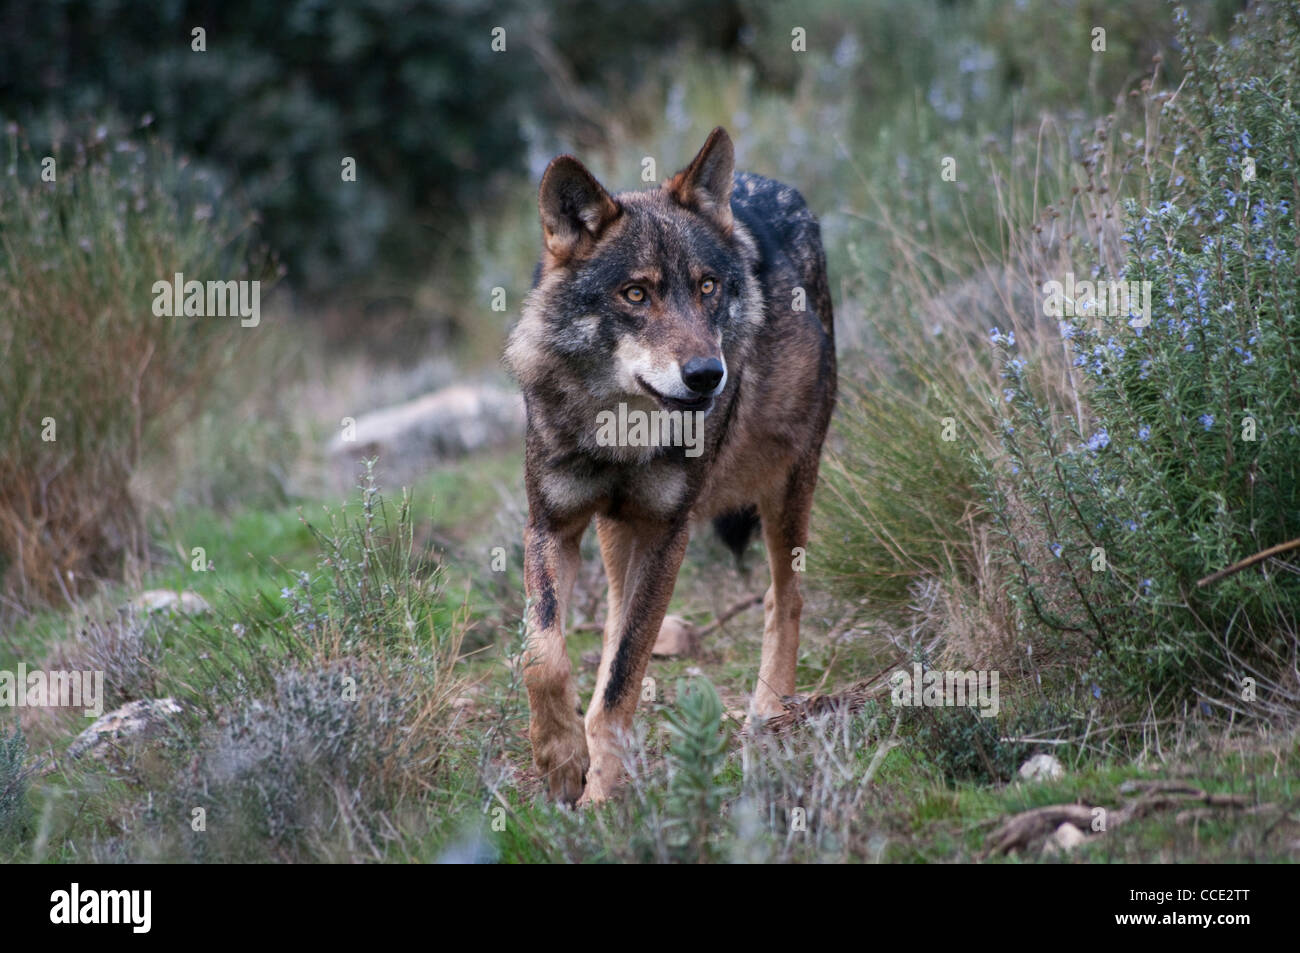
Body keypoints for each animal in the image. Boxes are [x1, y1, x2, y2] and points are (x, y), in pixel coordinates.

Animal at [504, 127, 836, 805]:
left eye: (707, 287)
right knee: (611, 625)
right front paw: (561, 759)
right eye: (636, 293)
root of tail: (771, 185)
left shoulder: (668, 532)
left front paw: (600, 796)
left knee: (782, 599)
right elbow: (544, 655)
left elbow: (621, 679)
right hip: (616, 531)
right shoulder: (552, 526)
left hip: (788, 483)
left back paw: (768, 712)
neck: (620, 428)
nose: (708, 375)